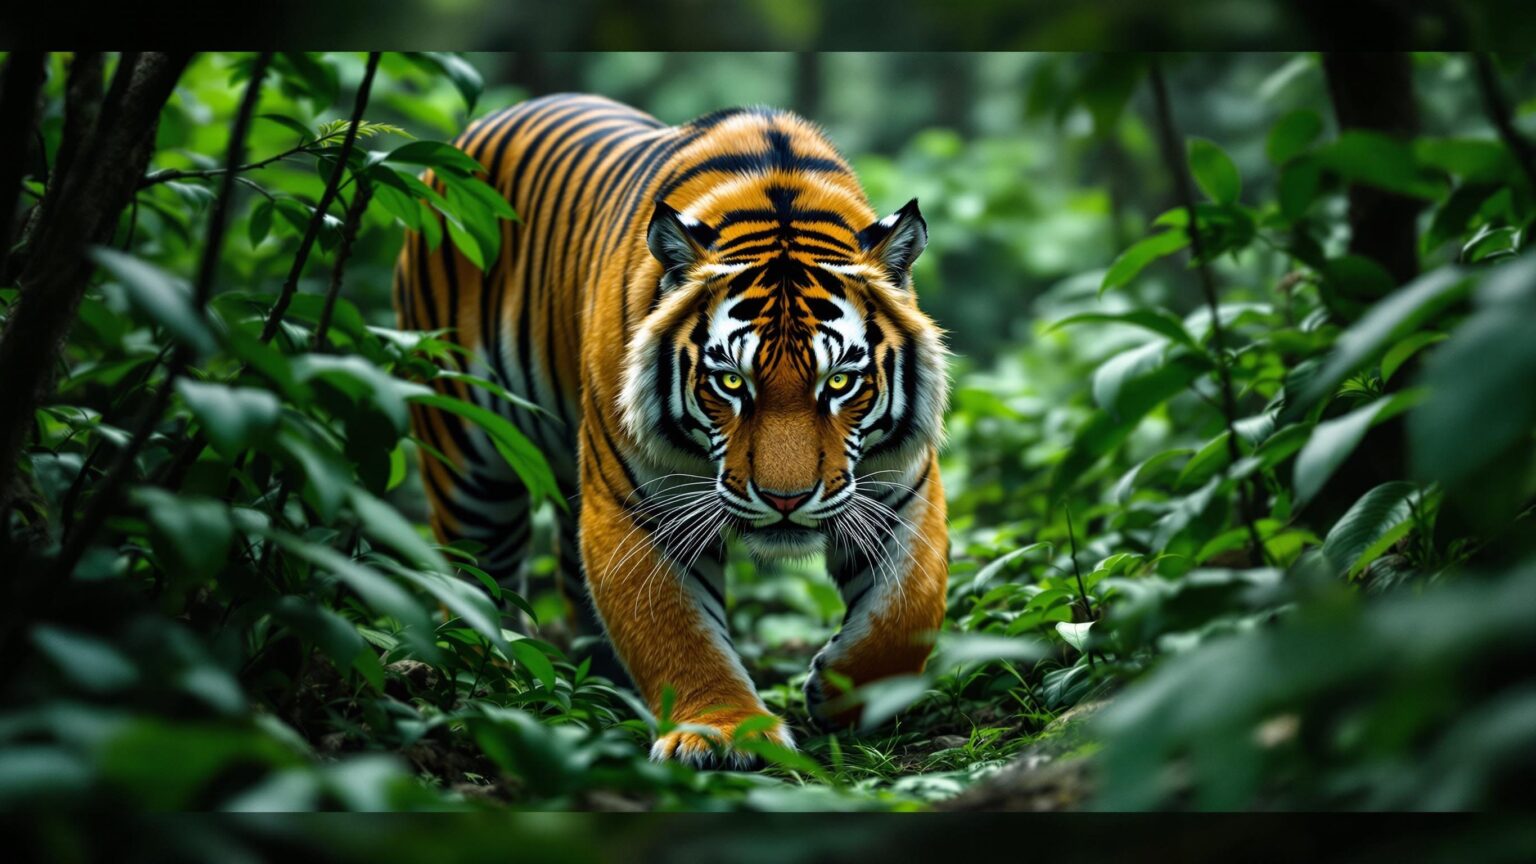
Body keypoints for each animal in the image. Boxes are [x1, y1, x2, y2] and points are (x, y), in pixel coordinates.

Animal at [394, 93, 950, 768]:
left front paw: (842, 694)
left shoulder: (902, 487)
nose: (786, 501)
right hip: (469, 460)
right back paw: (497, 684)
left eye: (840, 381)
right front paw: (721, 732)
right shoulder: (640, 507)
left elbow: (908, 611)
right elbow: (674, 630)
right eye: (731, 382)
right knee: (478, 579)